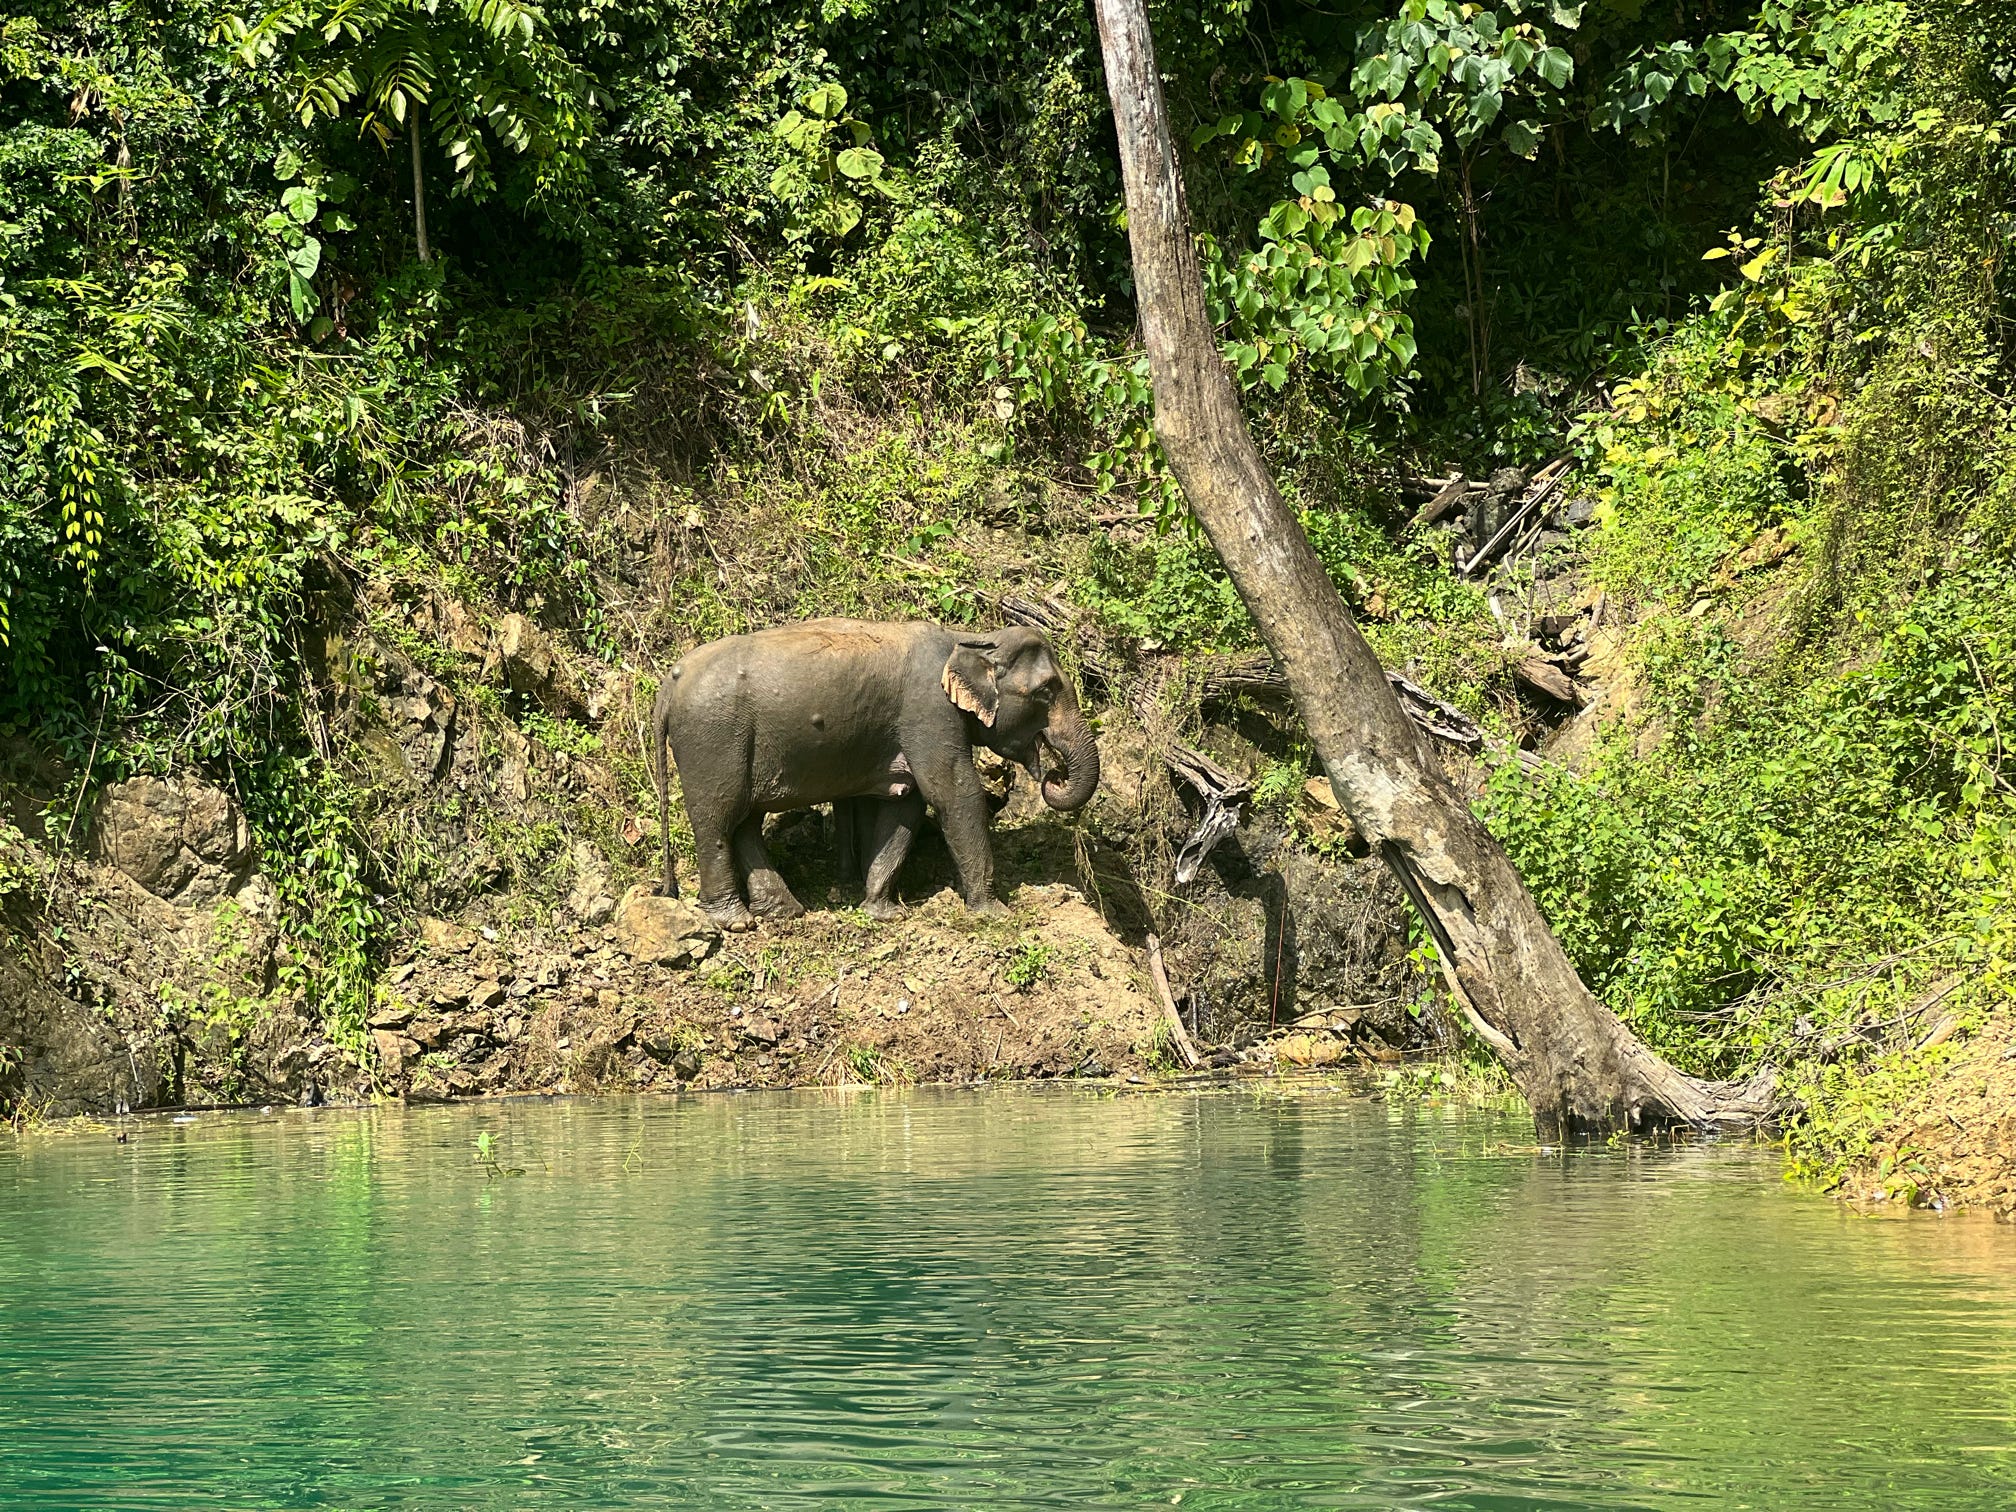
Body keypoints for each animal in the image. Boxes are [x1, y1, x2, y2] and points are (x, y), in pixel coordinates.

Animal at [651, 619, 1101, 930]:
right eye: (1046, 690)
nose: (1054, 775)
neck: (967, 637)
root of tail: (669, 682)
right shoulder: (928, 713)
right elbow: (954, 793)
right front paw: (995, 913)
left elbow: (905, 807)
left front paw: (883, 913)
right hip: (713, 740)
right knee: (717, 820)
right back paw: (735, 922)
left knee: (745, 820)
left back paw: (785, 912)